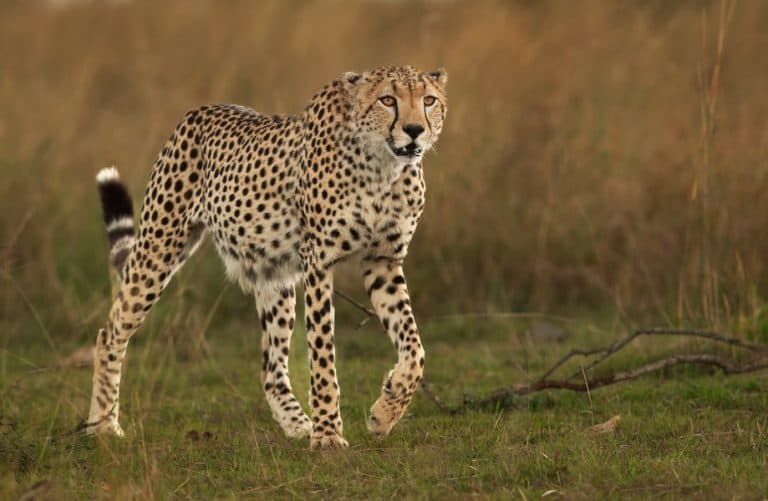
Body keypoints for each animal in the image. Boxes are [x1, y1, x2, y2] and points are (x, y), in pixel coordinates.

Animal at [85, 65, 447, 449]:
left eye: (428, 100)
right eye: (387, 99)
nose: (414, 130)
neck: (383, 166)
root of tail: (197, 112)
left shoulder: (383, 261)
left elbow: (415, 347)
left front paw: (385, 412)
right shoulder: (318, 264)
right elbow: (323, 356)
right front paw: (328, 435)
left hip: (275, 278)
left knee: (270, 369)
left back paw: (298, 425)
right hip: (159, 247)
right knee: (110, 333)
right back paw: (103, 425)